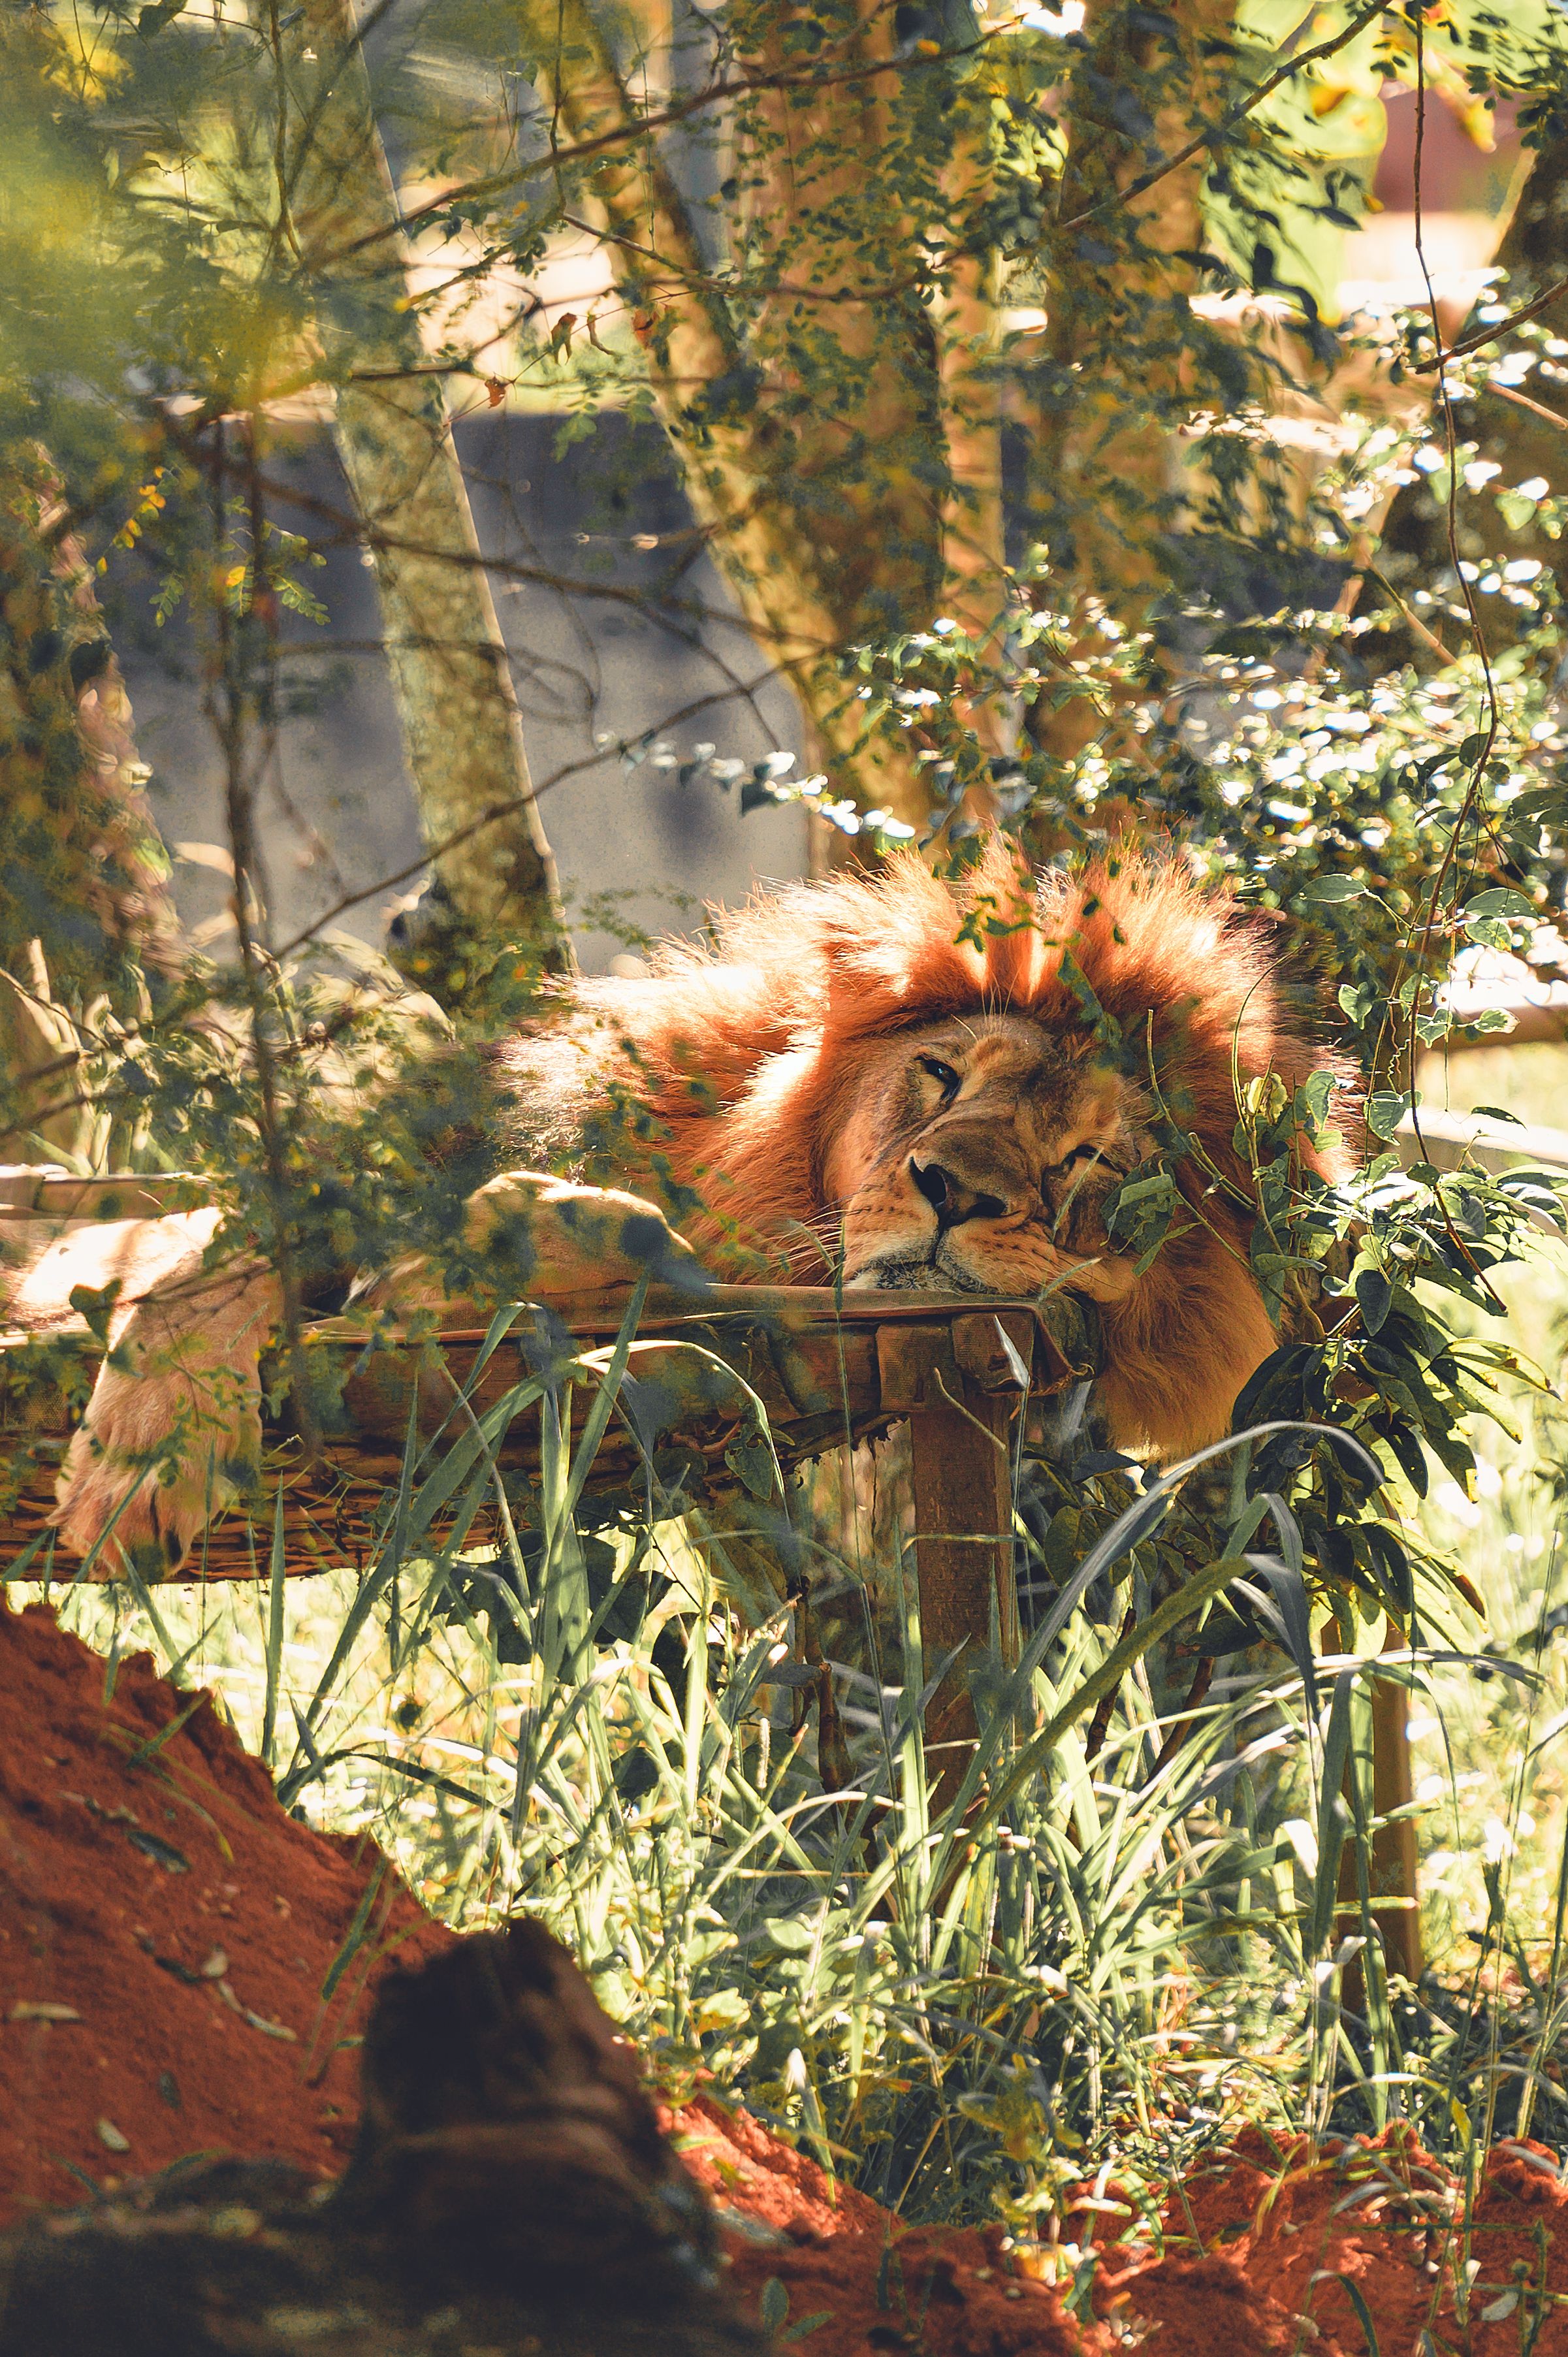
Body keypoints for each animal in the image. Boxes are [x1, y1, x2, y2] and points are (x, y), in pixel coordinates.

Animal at [8, 842, 1353, 1576]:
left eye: (1086, 1158)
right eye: (938, 1074)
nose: (955, 1190)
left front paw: (514, 1246)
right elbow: (214, 1267)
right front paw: (140, 1473)